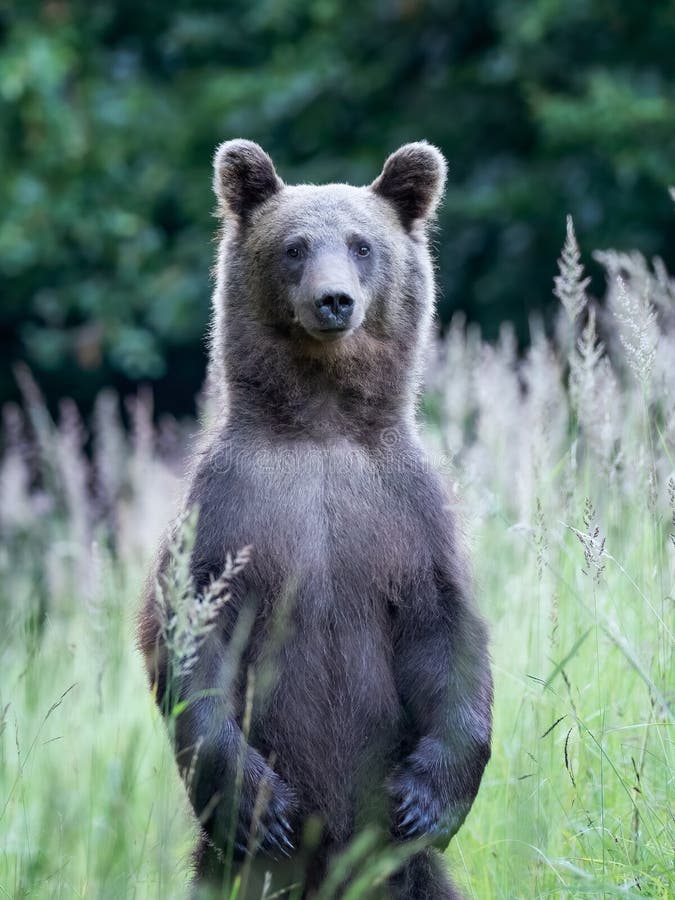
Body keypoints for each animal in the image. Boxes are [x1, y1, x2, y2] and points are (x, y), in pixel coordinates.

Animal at [138, 139, 493, 899]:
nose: (334, 300)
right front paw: (257, 804)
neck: (322, 426)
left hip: (399, 869)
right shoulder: (231, 509)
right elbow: (190, 631)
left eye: (362, 245)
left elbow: (446, 632)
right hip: (239, 869)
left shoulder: (404, 514)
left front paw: (427, 800)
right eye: (294, 246)